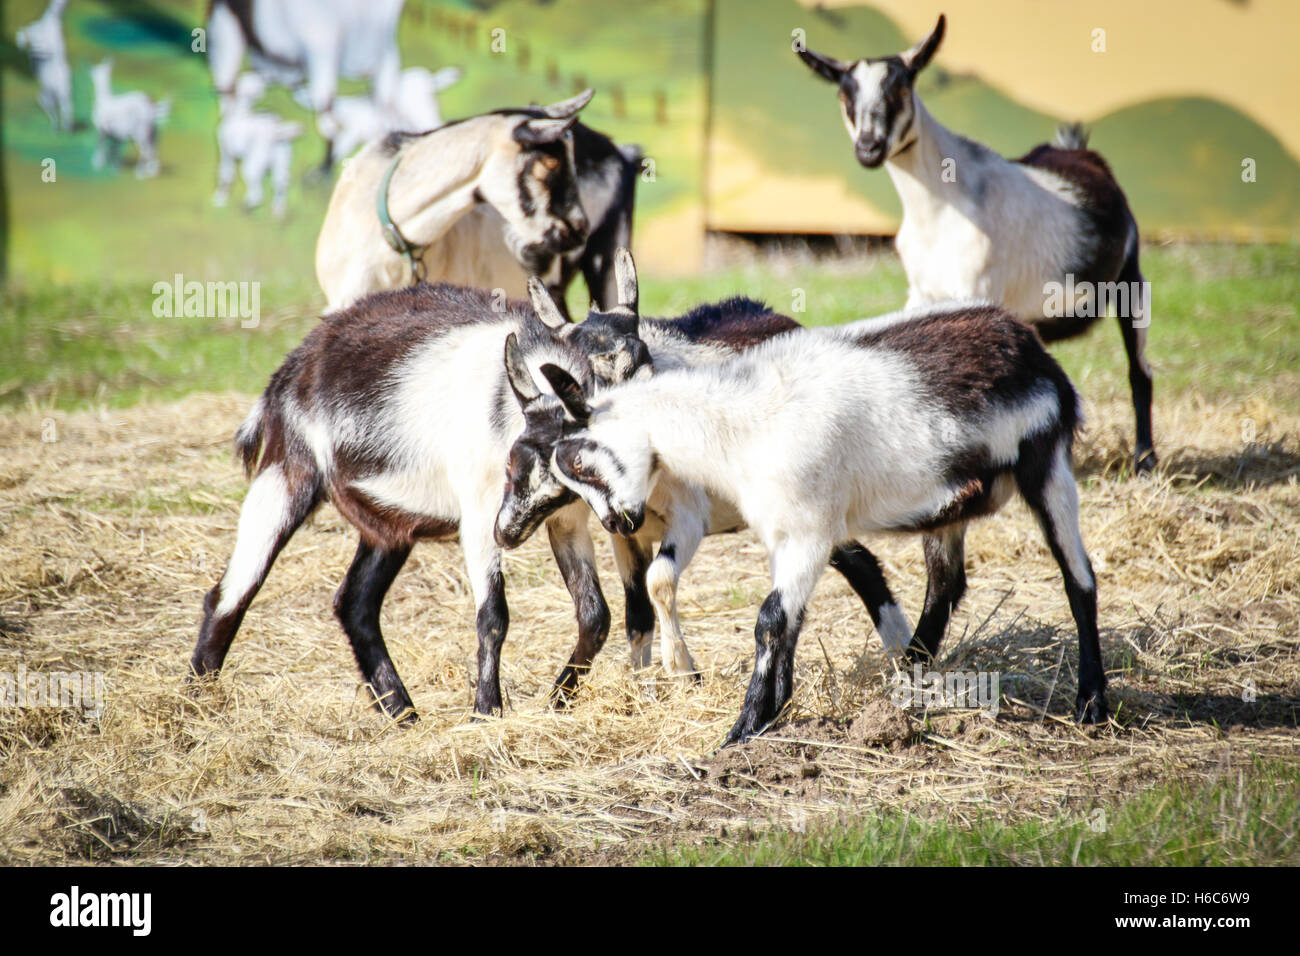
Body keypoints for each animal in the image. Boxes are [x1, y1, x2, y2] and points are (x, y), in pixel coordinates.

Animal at [191, 283, 615, 722]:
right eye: (512, 462)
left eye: (568, 475)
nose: (508, 533)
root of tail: (293, 367)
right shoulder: (479, 513)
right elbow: (493, 615)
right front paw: (485, 712)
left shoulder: (567, 520)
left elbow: (595, 614)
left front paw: (559, 699)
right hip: (285, 477)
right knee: (230, 595)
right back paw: (198, 701)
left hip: (385, 529)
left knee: (355, 604)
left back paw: (401, 712)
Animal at [215, 74, 304, 217]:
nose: (268, 79)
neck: (241, 113)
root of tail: (276, 131)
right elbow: (228, 176)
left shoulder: (226, 153)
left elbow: (225, 175)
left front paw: (219, 200)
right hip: (282, 163)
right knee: (281, 184)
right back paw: (278, 210)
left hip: (252, 164)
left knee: (257, 194)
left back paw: (248, 205)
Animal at [496, 252, 911, 695]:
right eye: (579, 384)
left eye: (646, 371)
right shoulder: (624, 534)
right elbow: (636, 613)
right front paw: (641, 681)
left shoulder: (688, 516)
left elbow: (659, 580)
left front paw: (682, 668)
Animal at [535, 303, 1108, 745]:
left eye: (581, 460)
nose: (619, 521)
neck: (742, 423)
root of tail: (1025, 340)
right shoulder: (782, 533)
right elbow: (787, 620)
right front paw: (771, 714)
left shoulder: (810, 529)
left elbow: (769, 619)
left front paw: (741, 730)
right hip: (951, 501)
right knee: (946, 583)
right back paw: (911, 679)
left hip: (1047, 465)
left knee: (1078, 578)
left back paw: (1092, 704)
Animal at [798, 14, 1154, 473]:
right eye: (845, 95)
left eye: (901, 89)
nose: (869, 148)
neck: (940, 206)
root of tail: (1080, 154)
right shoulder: (921, 292)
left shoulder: (977, 288)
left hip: (1131, 279)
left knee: (1140, 370)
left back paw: (1144, 459)